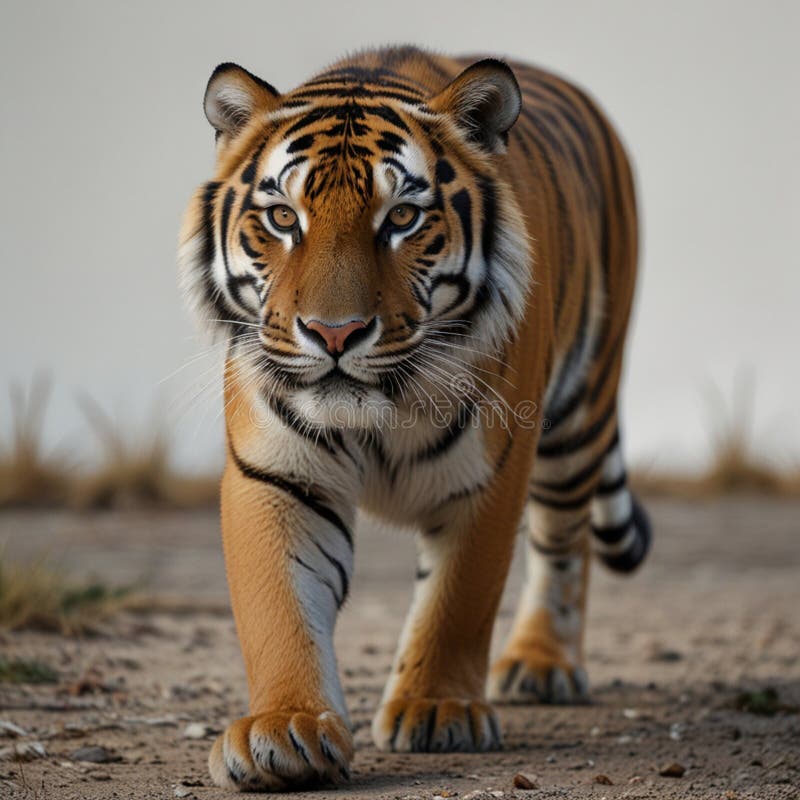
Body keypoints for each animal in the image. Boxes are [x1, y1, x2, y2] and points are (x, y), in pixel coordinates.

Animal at [178, 45, 650, 791]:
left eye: (401, 218)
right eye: (282, 218)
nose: (334, 333)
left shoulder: (493, 470)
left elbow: (459, 599)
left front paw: (436, 709)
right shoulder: (278, 475)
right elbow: (279, 605)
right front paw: (285, 728)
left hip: (578, 417)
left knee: (562, 541)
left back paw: (542, 662)